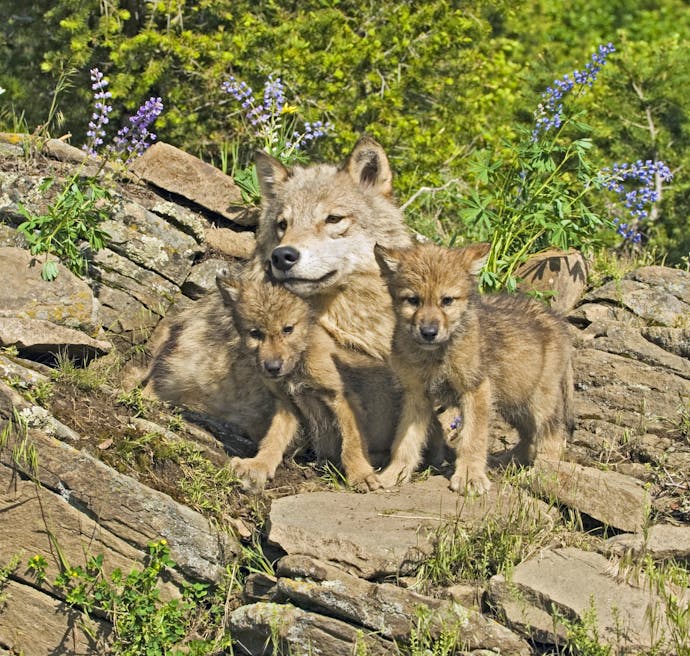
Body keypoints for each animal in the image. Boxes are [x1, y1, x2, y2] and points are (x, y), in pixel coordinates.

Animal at [216, 271, 400, 490]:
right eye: (255, 333)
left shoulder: (341, 398)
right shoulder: (287, 404)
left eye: (288, 329)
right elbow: (273, 438)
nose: (272, 367)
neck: (298, 366)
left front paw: (361, 475)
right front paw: (259, 464)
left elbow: (351, 443)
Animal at [375, 241, 575, 494]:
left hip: (539, 401)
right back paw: (506, 462)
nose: (428, 333)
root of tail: (558, 321)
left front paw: (470, 477)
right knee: (529, 437)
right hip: (515, 400)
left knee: (553, 437)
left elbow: (473, 438)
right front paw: (393, 474)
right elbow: (405, 441)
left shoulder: (475, 390)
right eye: (413, 300)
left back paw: (541, 474)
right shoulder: (416, 395)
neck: (436, 355)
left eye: (447, 300)